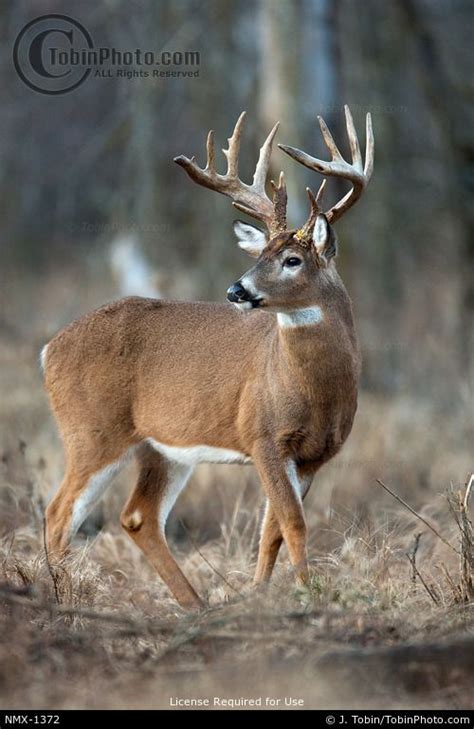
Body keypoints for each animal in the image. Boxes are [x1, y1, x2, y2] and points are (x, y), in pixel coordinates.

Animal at [42, 105, 374, 610]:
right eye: (262, 254)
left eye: (292, 259)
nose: (236, 290)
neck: (314, 392)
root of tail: (48, 350)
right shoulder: (262, 435)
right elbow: (293, 523)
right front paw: (308, 593)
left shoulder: (315, 455)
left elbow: (272, 530)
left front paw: (259, 594)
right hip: (91, 430)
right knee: (59, 513)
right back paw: (62, 597)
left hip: (161, 446)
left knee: (138, 515)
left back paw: (194, 605)